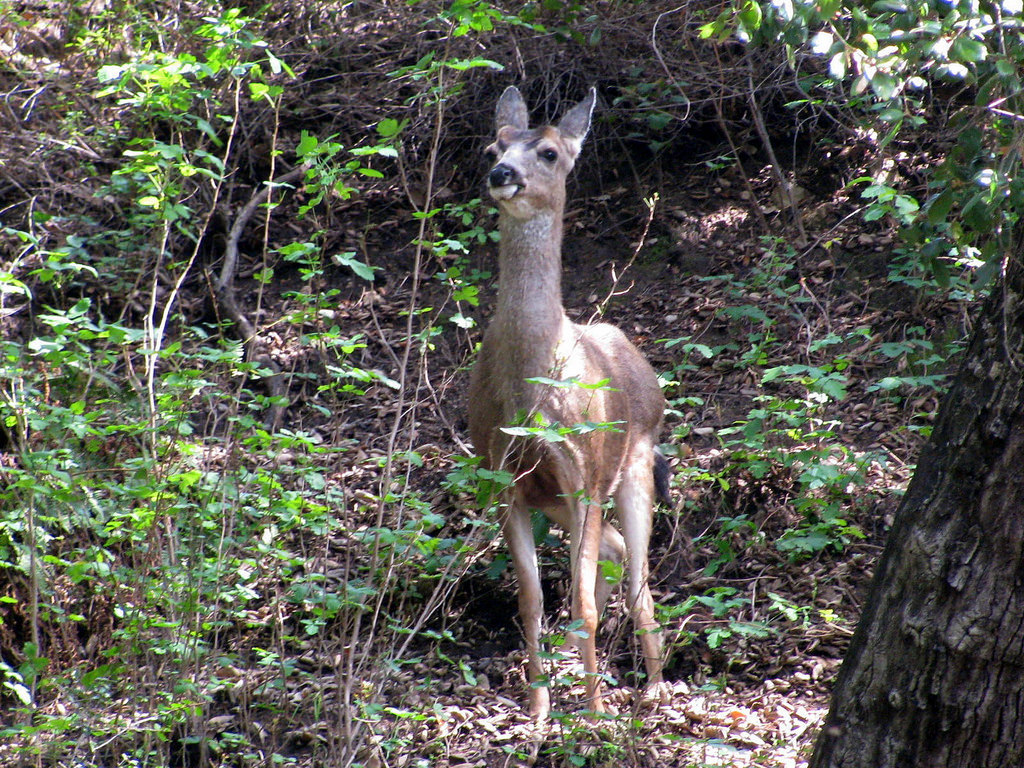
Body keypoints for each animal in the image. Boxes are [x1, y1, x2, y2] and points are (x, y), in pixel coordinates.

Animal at [467, 85, 668, 721]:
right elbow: (531, 600)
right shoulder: (505, 479)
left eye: (550, 153)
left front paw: (596, 715)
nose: (501, 174)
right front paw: (537, 711)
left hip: (633, 466)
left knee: (637, 573)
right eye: (492, 147)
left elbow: (580, 599)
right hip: (559, 499)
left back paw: (655, 686)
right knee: (612, 553)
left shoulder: (583, 473)